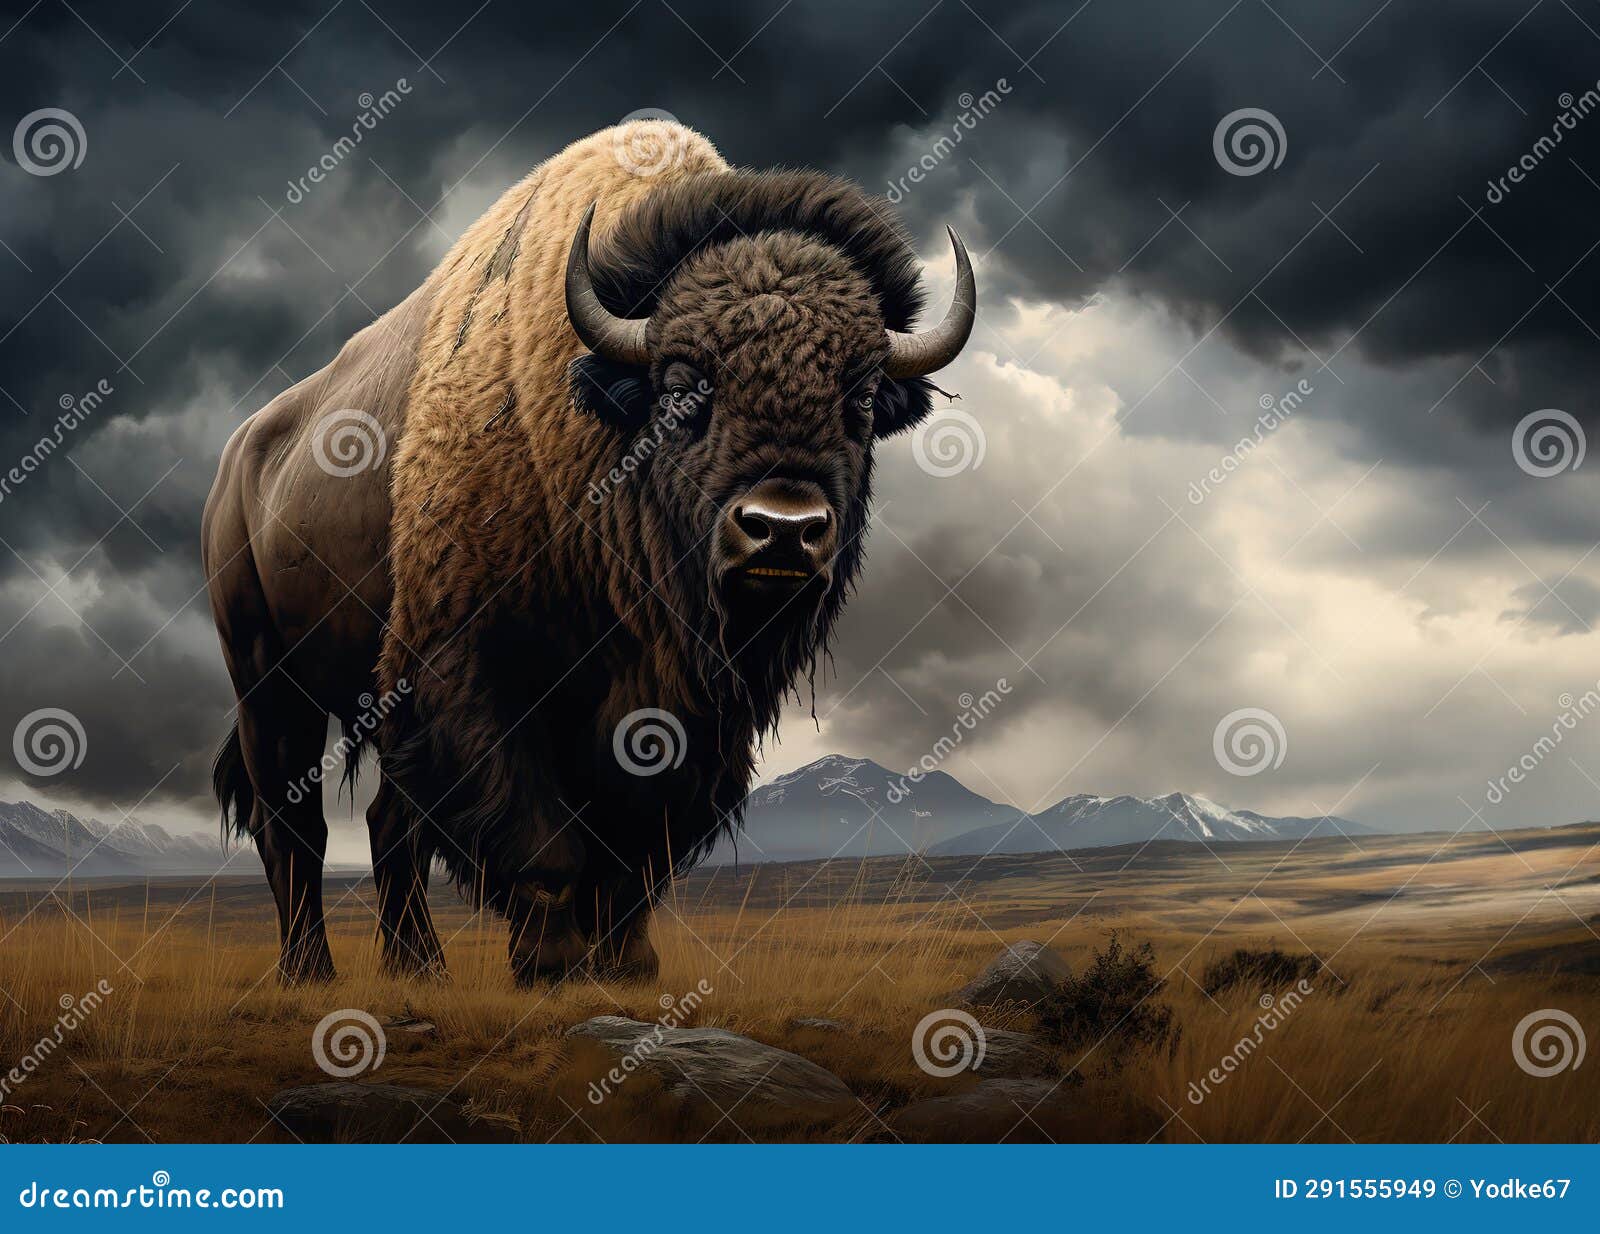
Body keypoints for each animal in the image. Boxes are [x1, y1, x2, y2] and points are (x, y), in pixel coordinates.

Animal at [202, 121, 975, 984]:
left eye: (863, 396)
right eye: (684, 385)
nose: (782, 528)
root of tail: (239, 459)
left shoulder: (683, 713)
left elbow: (637, 850)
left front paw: (628, 964)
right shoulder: (474, 671)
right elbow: (539, 835)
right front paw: (547, 964)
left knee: (384, 821)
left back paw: (421, 969)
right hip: (268, 685)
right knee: (292, 826)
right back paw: (312, 972)